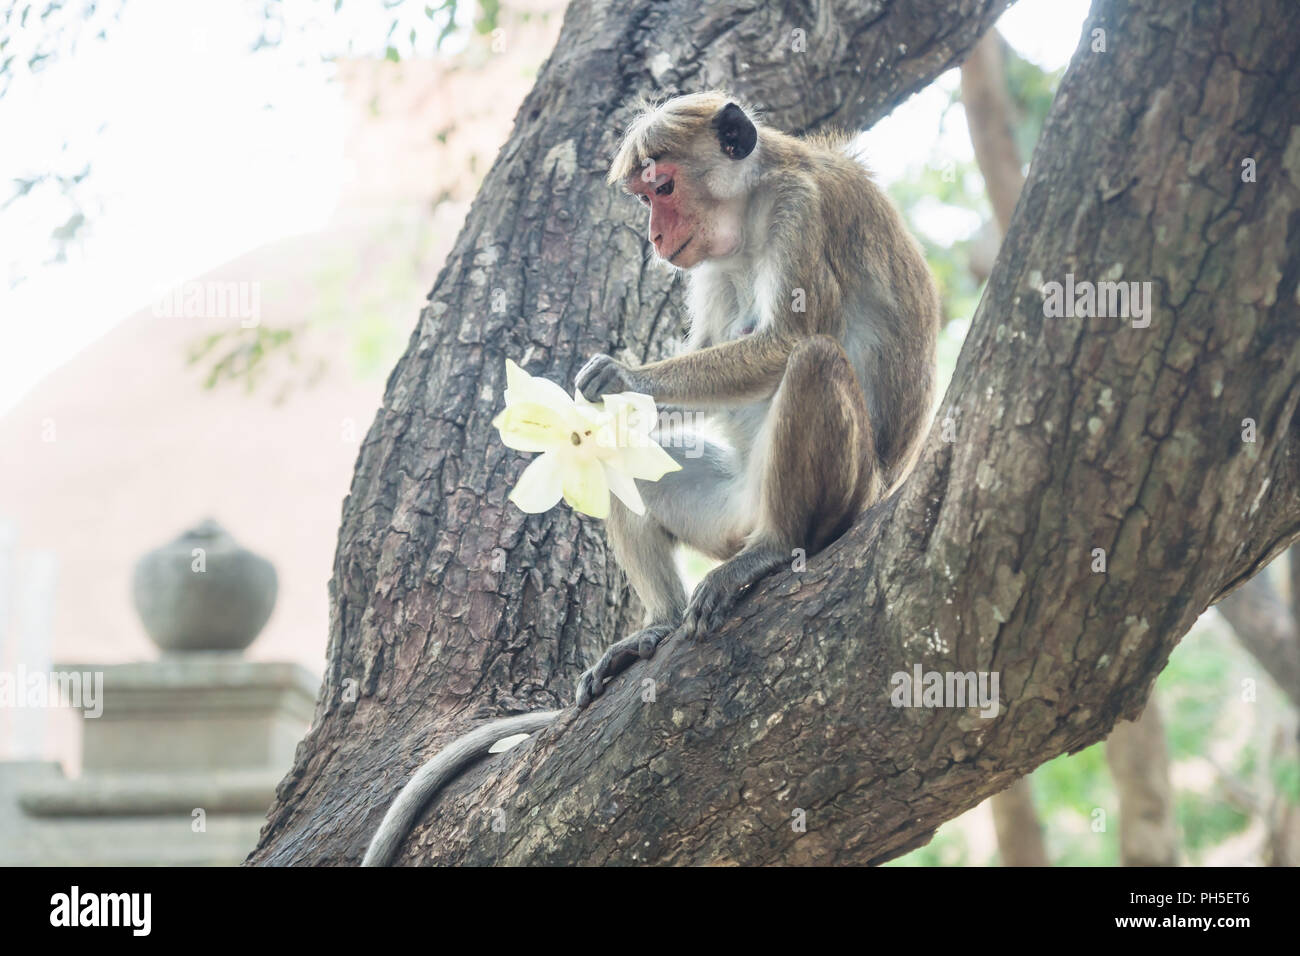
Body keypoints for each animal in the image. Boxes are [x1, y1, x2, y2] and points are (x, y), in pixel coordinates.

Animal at [361, 91, 938, 865]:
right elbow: (695, 360)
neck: (752, 201)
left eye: (661, 187)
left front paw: (625, 378)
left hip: (845, 495)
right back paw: (657, 626)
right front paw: (599, 407)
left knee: (813, 360)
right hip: (723, 511)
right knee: (623, 464)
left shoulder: (802, 208)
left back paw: (772, 551)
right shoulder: (713, 263)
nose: (657, 236)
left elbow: (789, 339)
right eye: (644, 196)